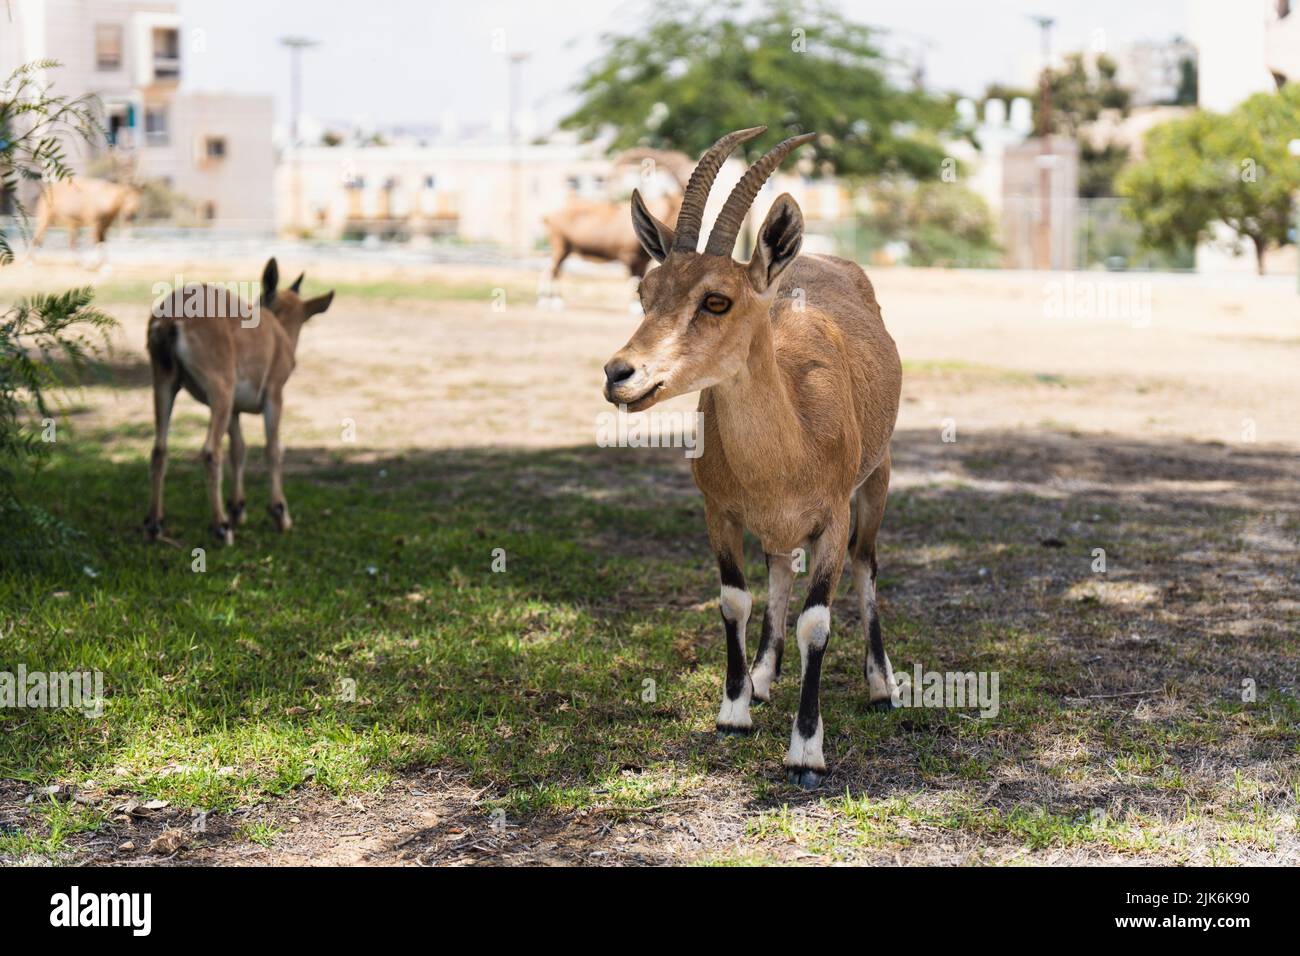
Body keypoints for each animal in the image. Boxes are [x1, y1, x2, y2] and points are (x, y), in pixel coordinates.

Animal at [144, 258, 334, 545]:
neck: (278, 331)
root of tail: (171, 321)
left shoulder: (234, 408)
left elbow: (239, 449)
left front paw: (238, 509)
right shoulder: (274, 394)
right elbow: (273, 448)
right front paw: (280, 515)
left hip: (164, 382)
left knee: (159, 448)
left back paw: (155, 525)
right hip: (219, 387)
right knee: (210, 451)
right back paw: (221, 528)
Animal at [602, 127, 902, 788]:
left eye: (716, 300)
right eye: (645, 292)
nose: (619, 374)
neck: (790, 443)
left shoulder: (833, 514)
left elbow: (818, 620)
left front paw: (806, 751)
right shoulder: (719, 510)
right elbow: (734, 598)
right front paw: (734, 710)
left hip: (878, 478)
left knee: (866, 564)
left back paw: (881, 685)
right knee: (778, 568)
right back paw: (765, 677)